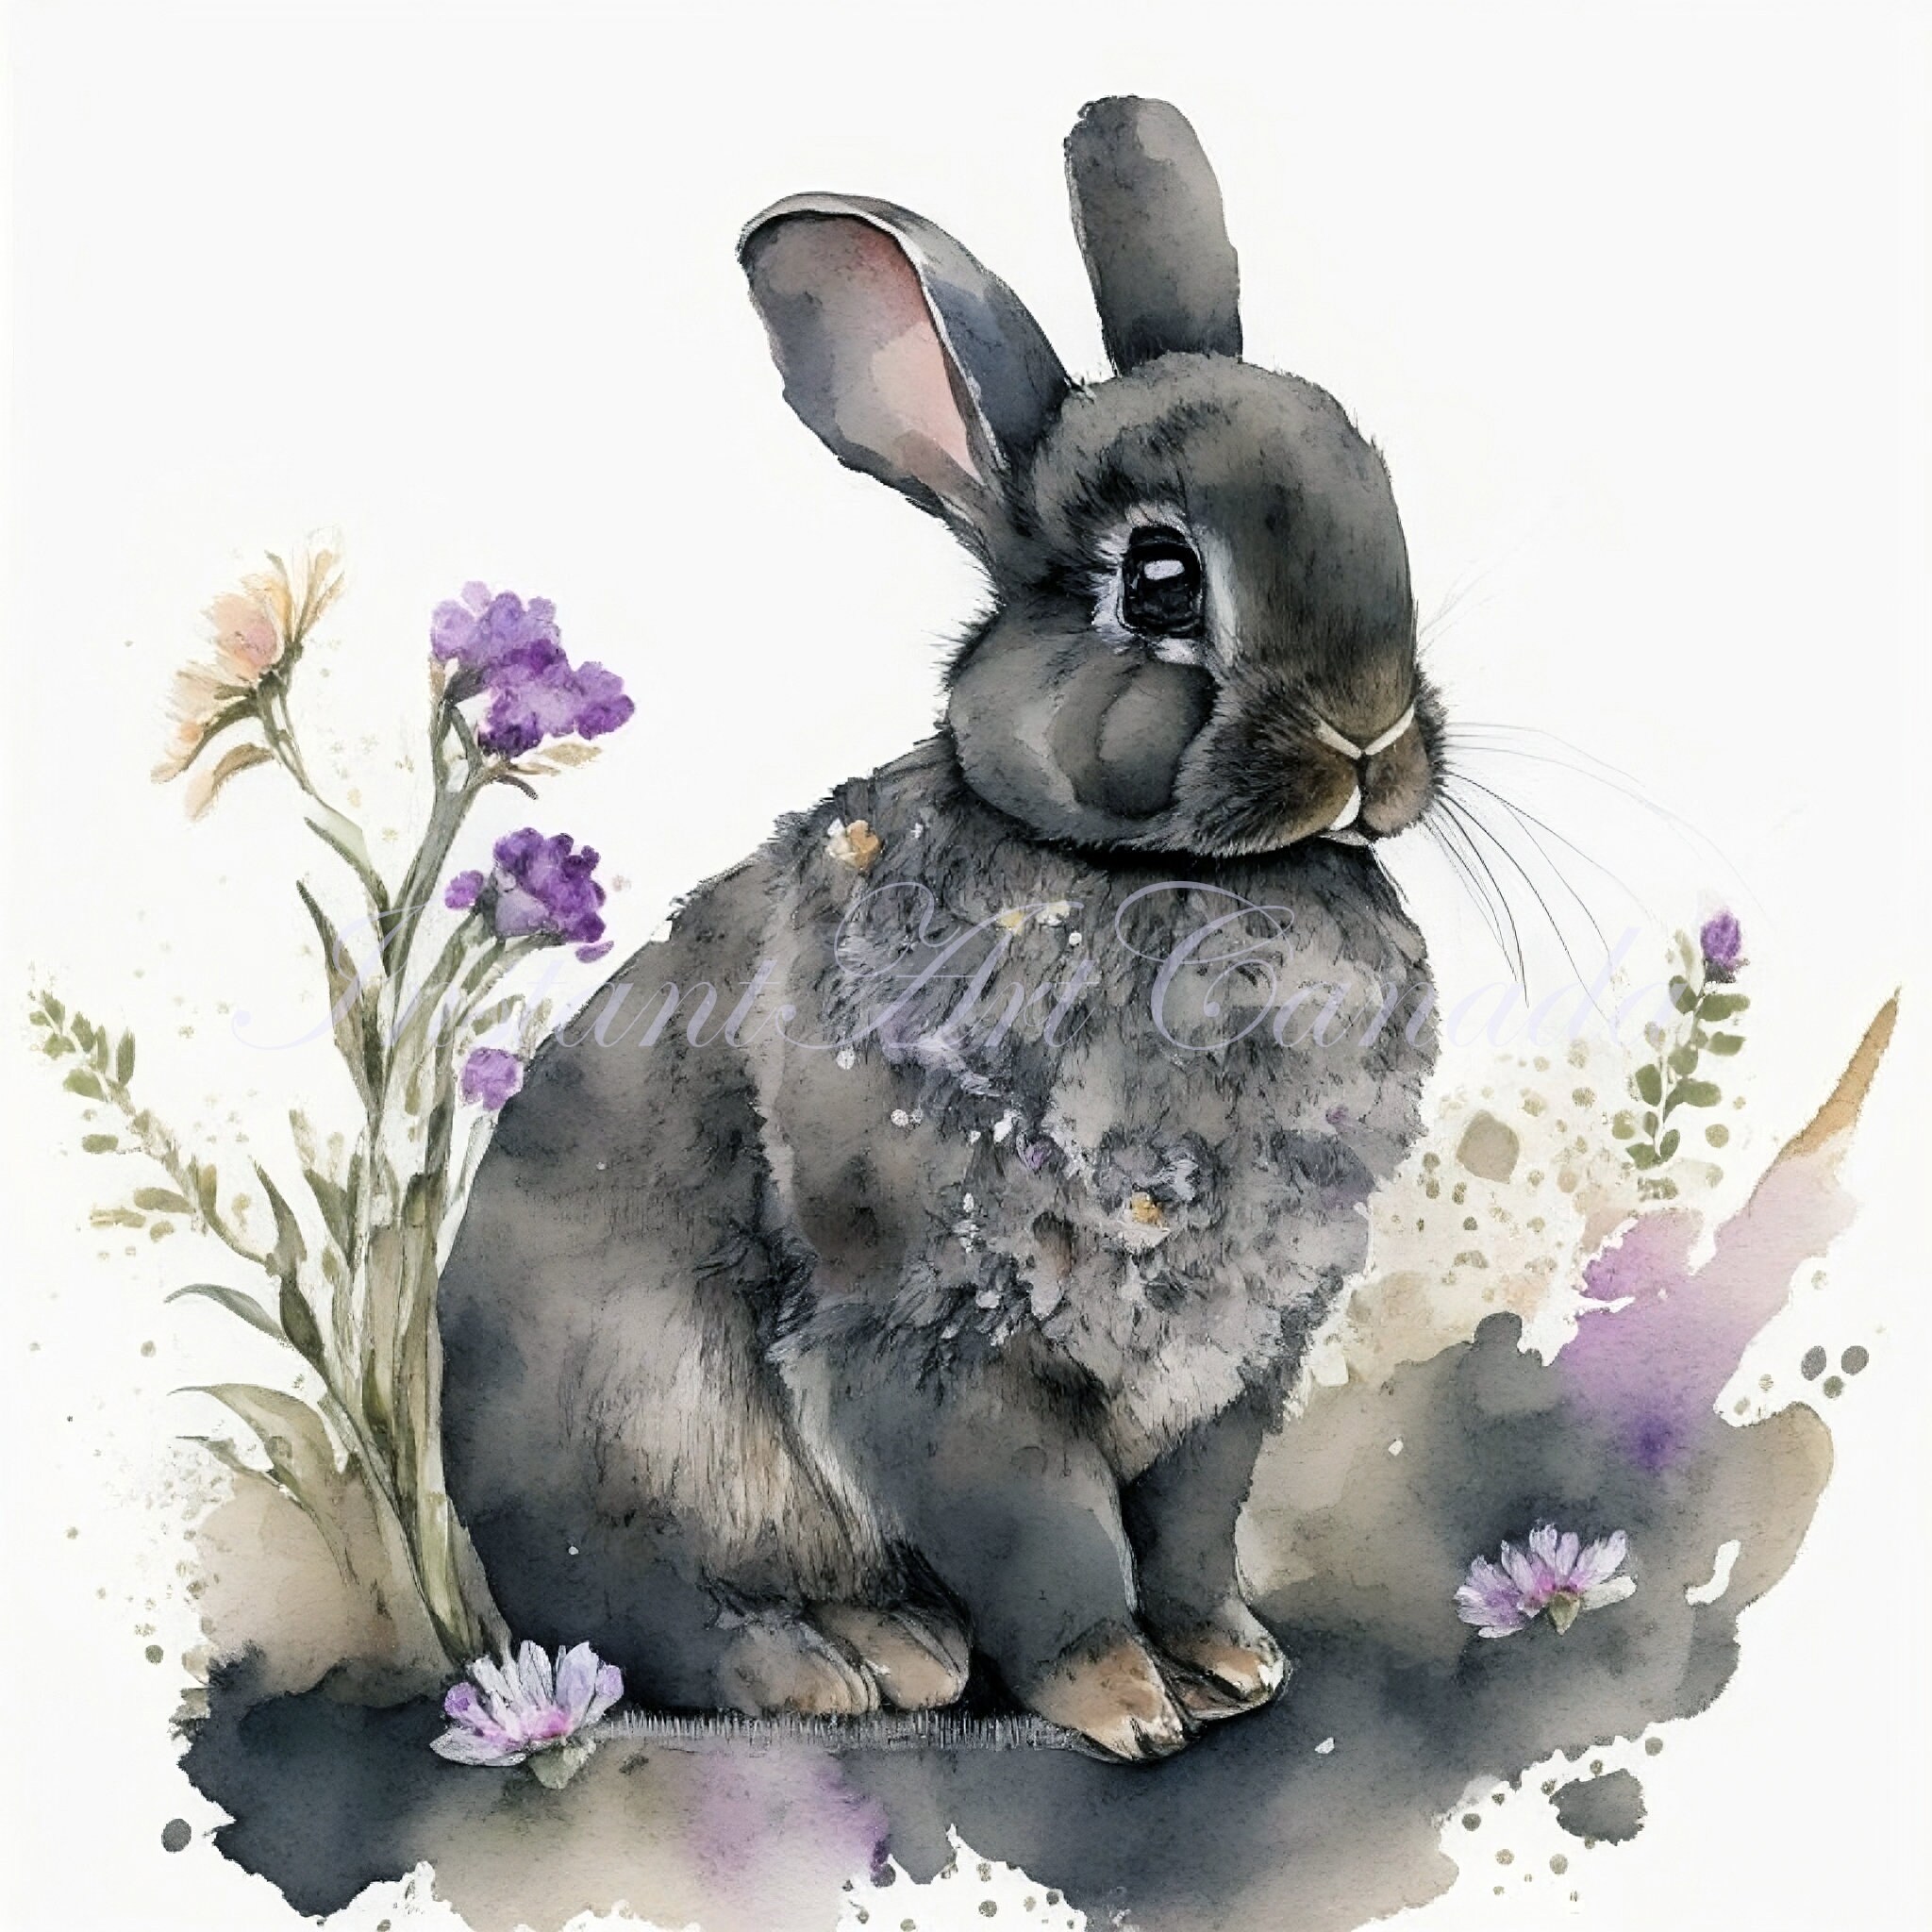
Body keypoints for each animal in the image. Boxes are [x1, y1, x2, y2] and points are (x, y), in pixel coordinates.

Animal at [437, 95, 1443, 1762]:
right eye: (1160, 581)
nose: (1372, 738)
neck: (1164, 873)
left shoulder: (1230, 1376)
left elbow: (1188, 1536)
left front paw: (1230, 1666)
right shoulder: (944, 1352)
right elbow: (1051, 1546)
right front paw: (1125, 1707)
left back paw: (900, 1647)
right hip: (643, 1433)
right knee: (646, 1623)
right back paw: (821, 1669)